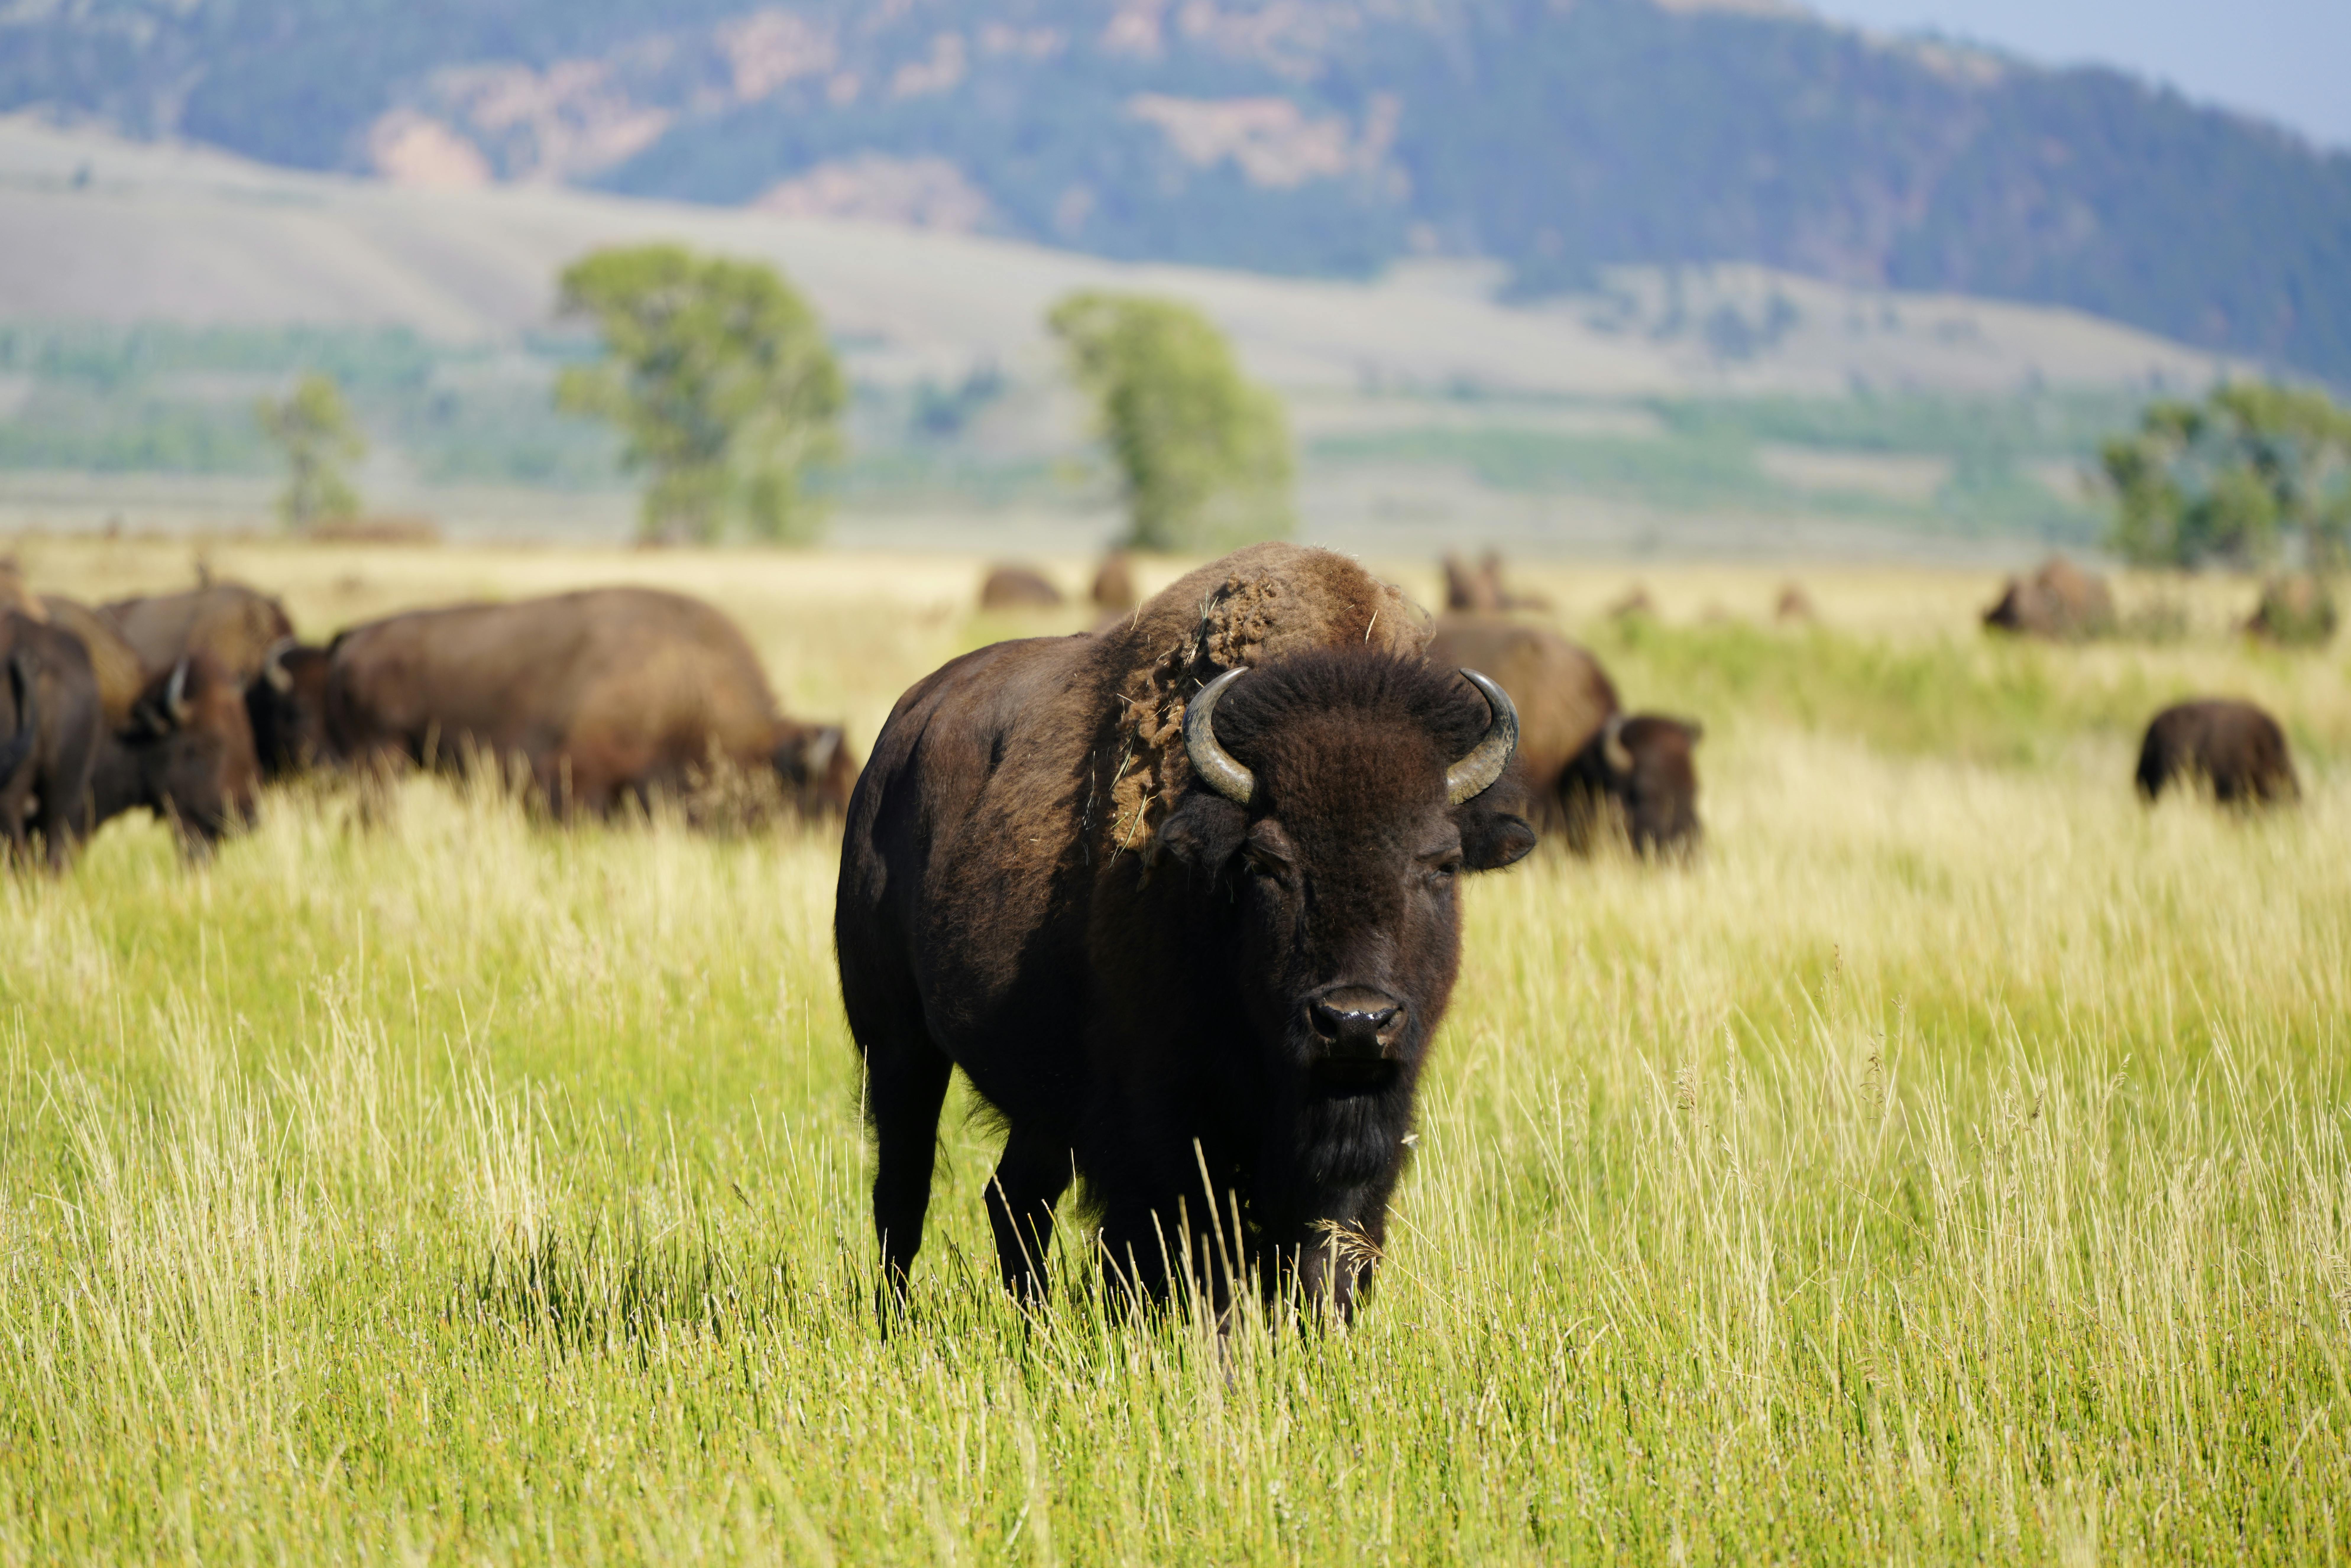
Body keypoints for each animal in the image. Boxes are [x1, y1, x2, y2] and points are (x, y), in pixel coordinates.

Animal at [838, 544, 1534, 1322]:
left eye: (1440, 862)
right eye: (1267, 863)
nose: (1355, 1021)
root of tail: (899, 737)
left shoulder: (1372, 1114)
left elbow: (1332, 1246)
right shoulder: (1164, 1121)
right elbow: (1189, 1249)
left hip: (1035, 1093)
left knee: (1015, 1197)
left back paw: (1033, 1321)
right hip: (897, 1046)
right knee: (904, 1189)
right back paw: (895, 1318)